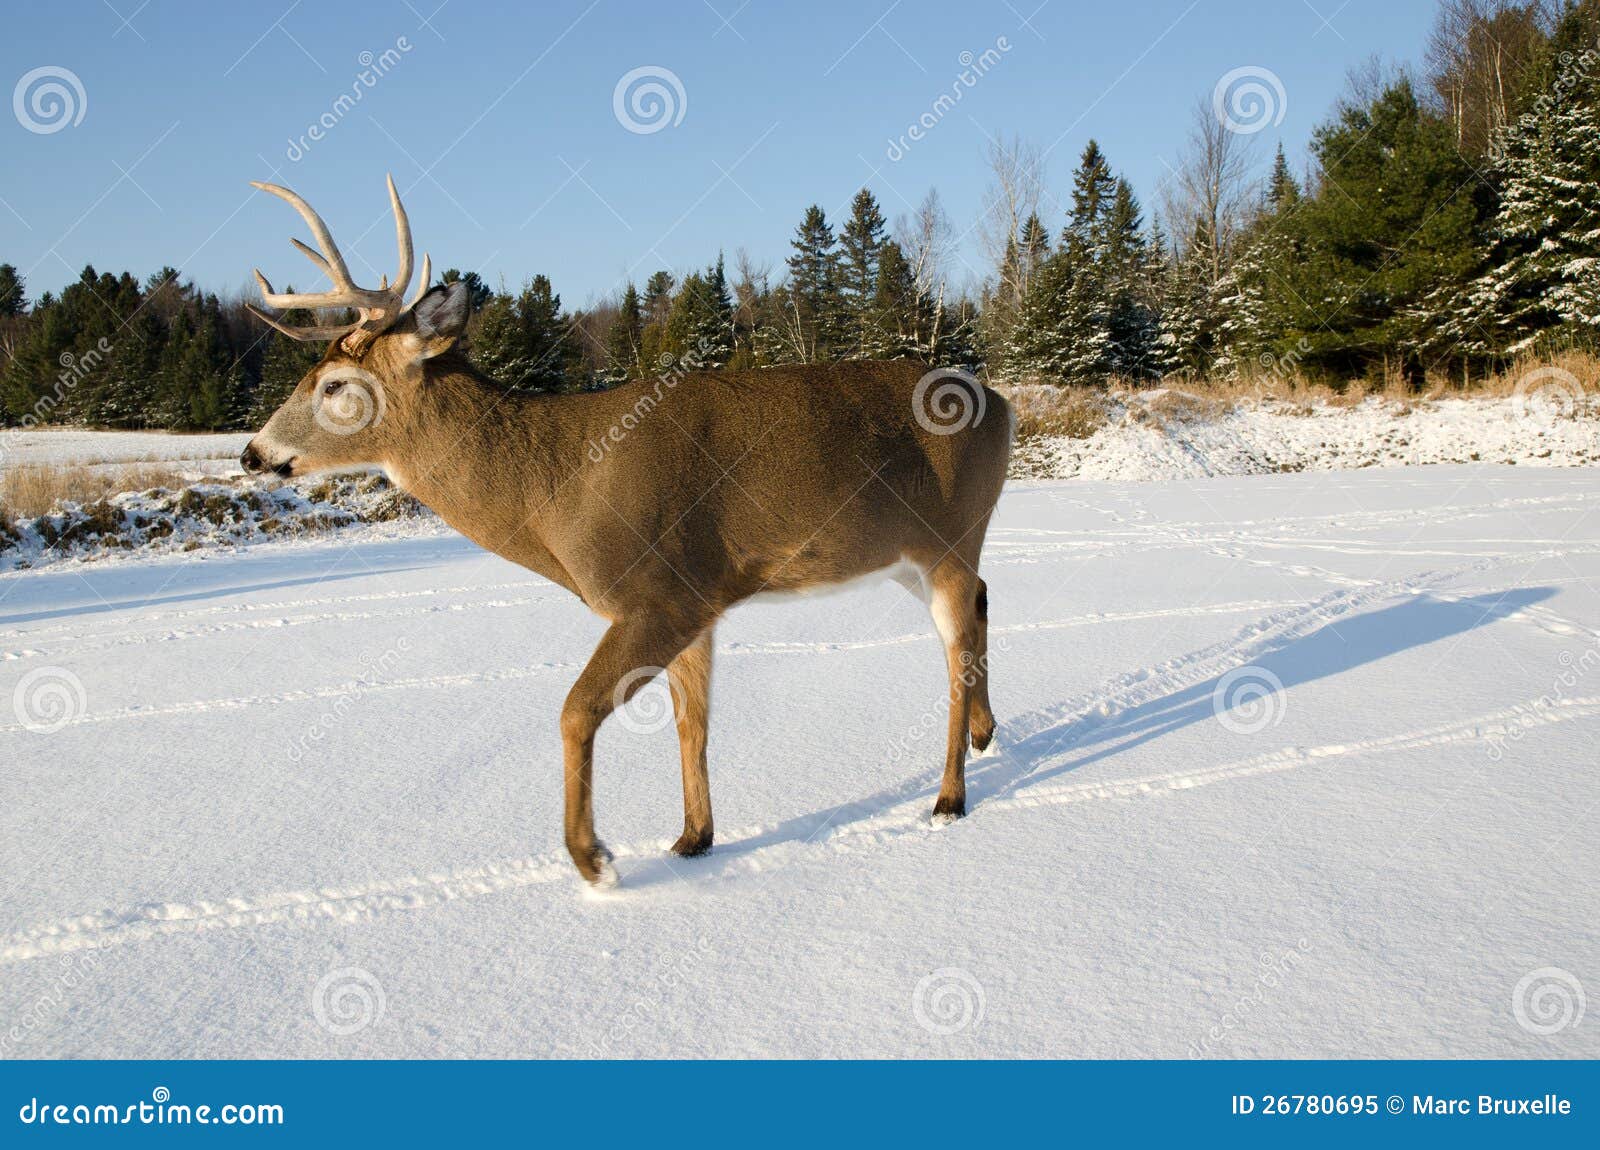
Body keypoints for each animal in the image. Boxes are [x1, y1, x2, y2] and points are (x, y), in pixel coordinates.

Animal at [240, 176, 1013, 887]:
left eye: (335, 384)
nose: (251, 454)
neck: (552, 492)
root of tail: (1000, 400)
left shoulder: (658, 593)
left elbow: (575, 711)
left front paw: (594, 859)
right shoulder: (700, 600)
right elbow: (691, 723)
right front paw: (692, 839)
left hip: (950, 533)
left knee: (954, 643)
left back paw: (948, 797)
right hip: (906, 556)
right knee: (980, 599)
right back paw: (985, 735)